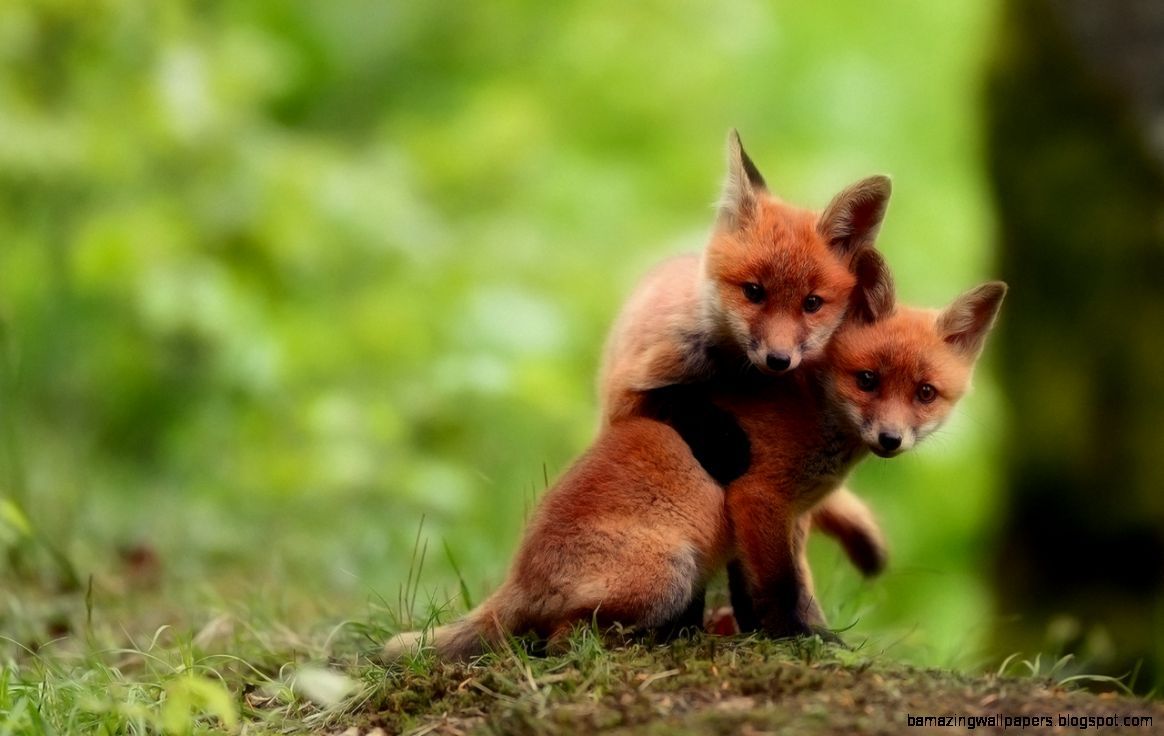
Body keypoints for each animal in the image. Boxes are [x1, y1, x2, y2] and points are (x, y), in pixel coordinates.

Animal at [383, 250, 1007, 661]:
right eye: (868, 380)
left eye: (925, 393)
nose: (891, 440)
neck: (814, 409)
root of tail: (519, 573)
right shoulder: (758, 498)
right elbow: (782, 591)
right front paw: (804, 642)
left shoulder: (789, 518)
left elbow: (779, 588)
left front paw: (783, 633)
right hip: (671, 573)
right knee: (557, 641)